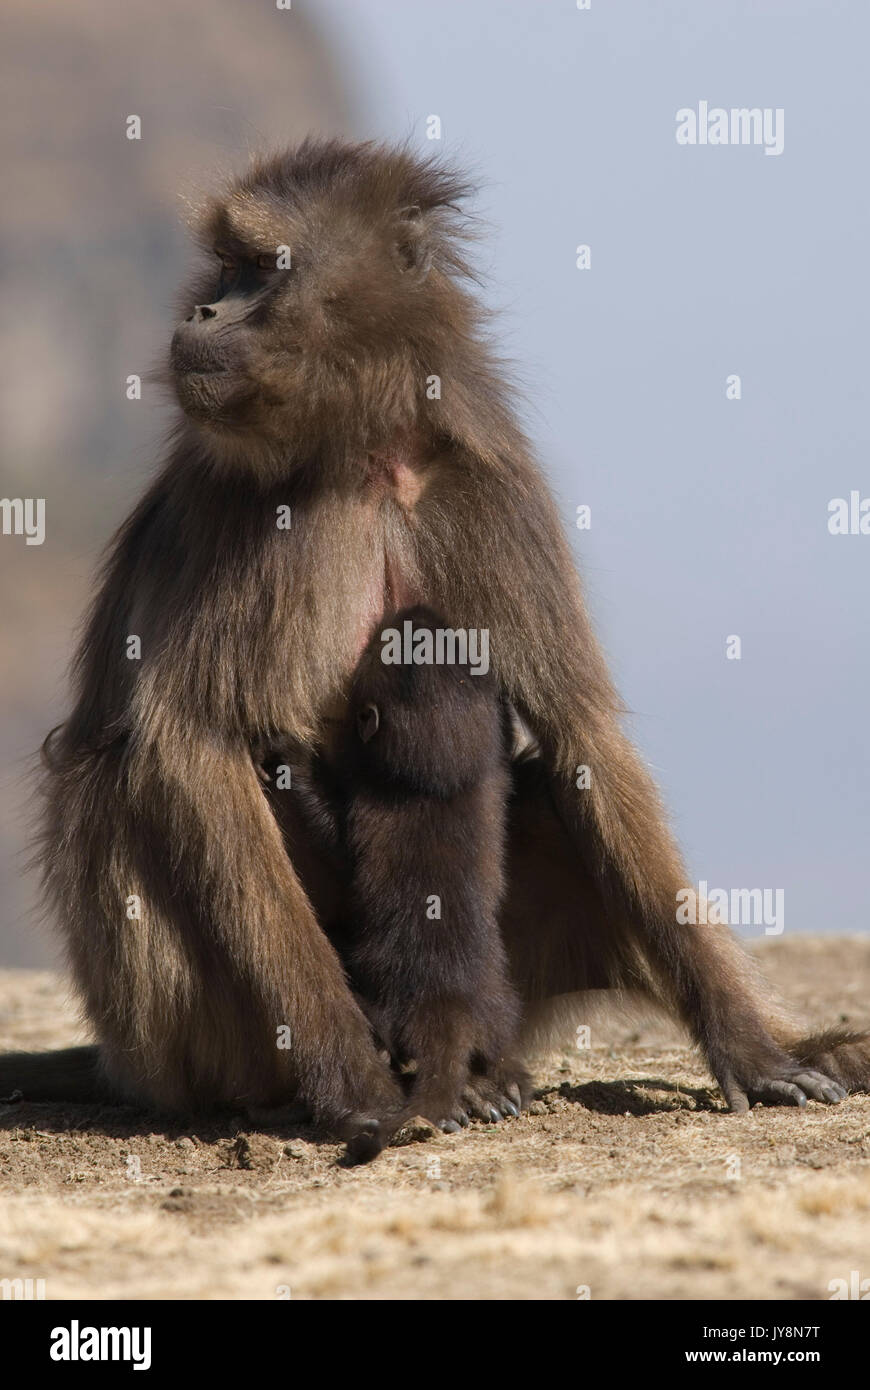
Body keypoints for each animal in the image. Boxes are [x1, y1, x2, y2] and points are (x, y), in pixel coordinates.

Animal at [279, 604, 530, 1161]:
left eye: (384, 641)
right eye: (438, 633)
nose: (414, 609)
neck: (436, 789)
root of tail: (450, 1009)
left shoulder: (369, 814)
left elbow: (331, 834)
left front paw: (286, 752)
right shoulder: (491, 785)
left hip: (384, 997)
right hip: (501, 1005)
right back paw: (506, 1085)